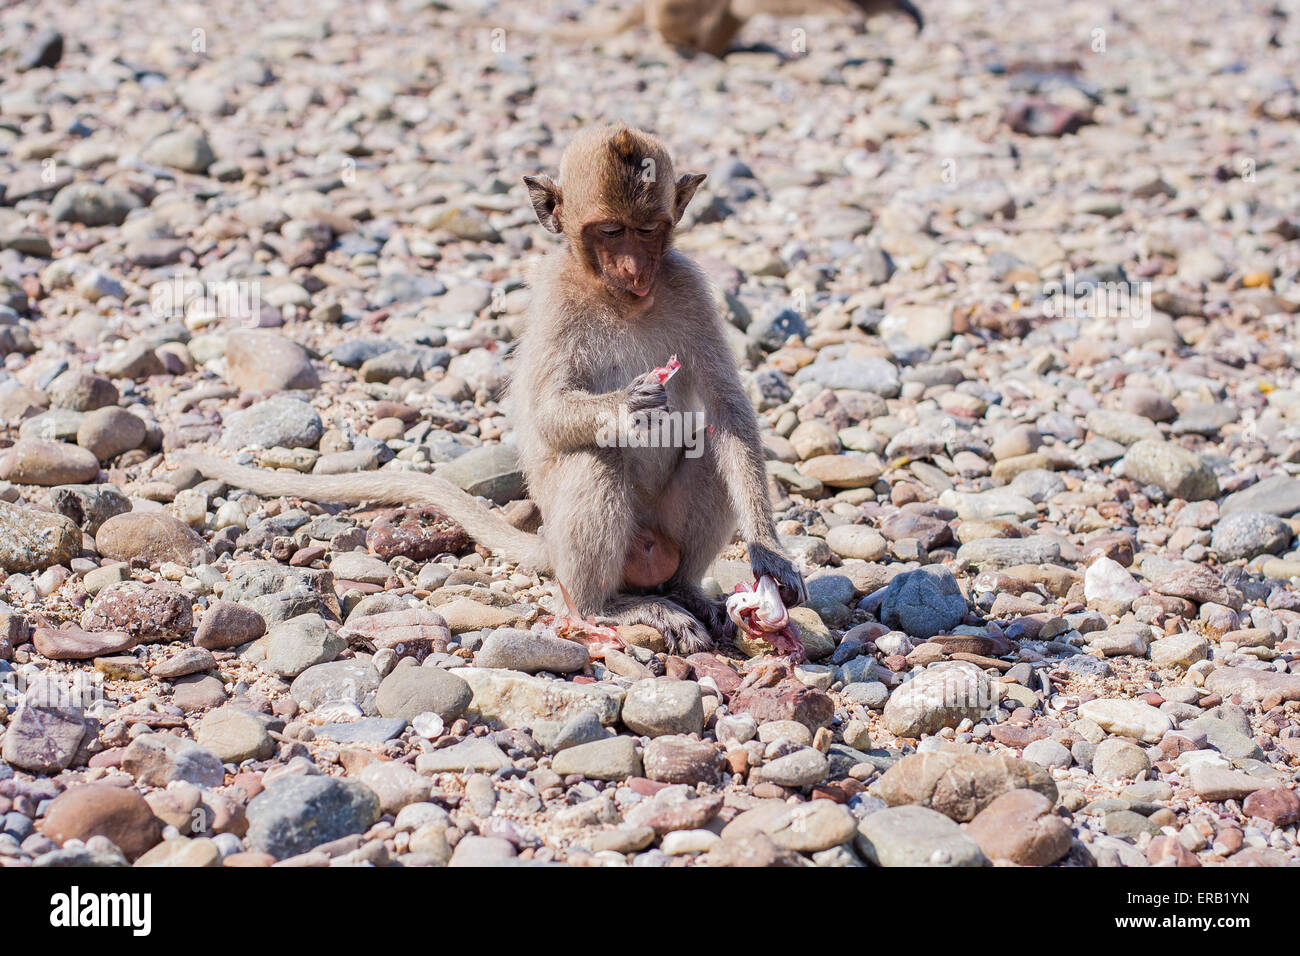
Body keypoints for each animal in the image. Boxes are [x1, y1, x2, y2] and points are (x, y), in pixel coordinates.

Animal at [179, 124, 806, 654]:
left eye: (648, 231)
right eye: (611, 232)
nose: (633, 269)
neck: (621, 300)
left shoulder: (690, 288)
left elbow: (727, 413)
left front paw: (769, 556)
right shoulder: (556, 301)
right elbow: (546, 413)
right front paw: (628, 406)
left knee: (708, 447)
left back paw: (683, 591)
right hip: (591, 552)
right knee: (593, 462)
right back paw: (610, 608)